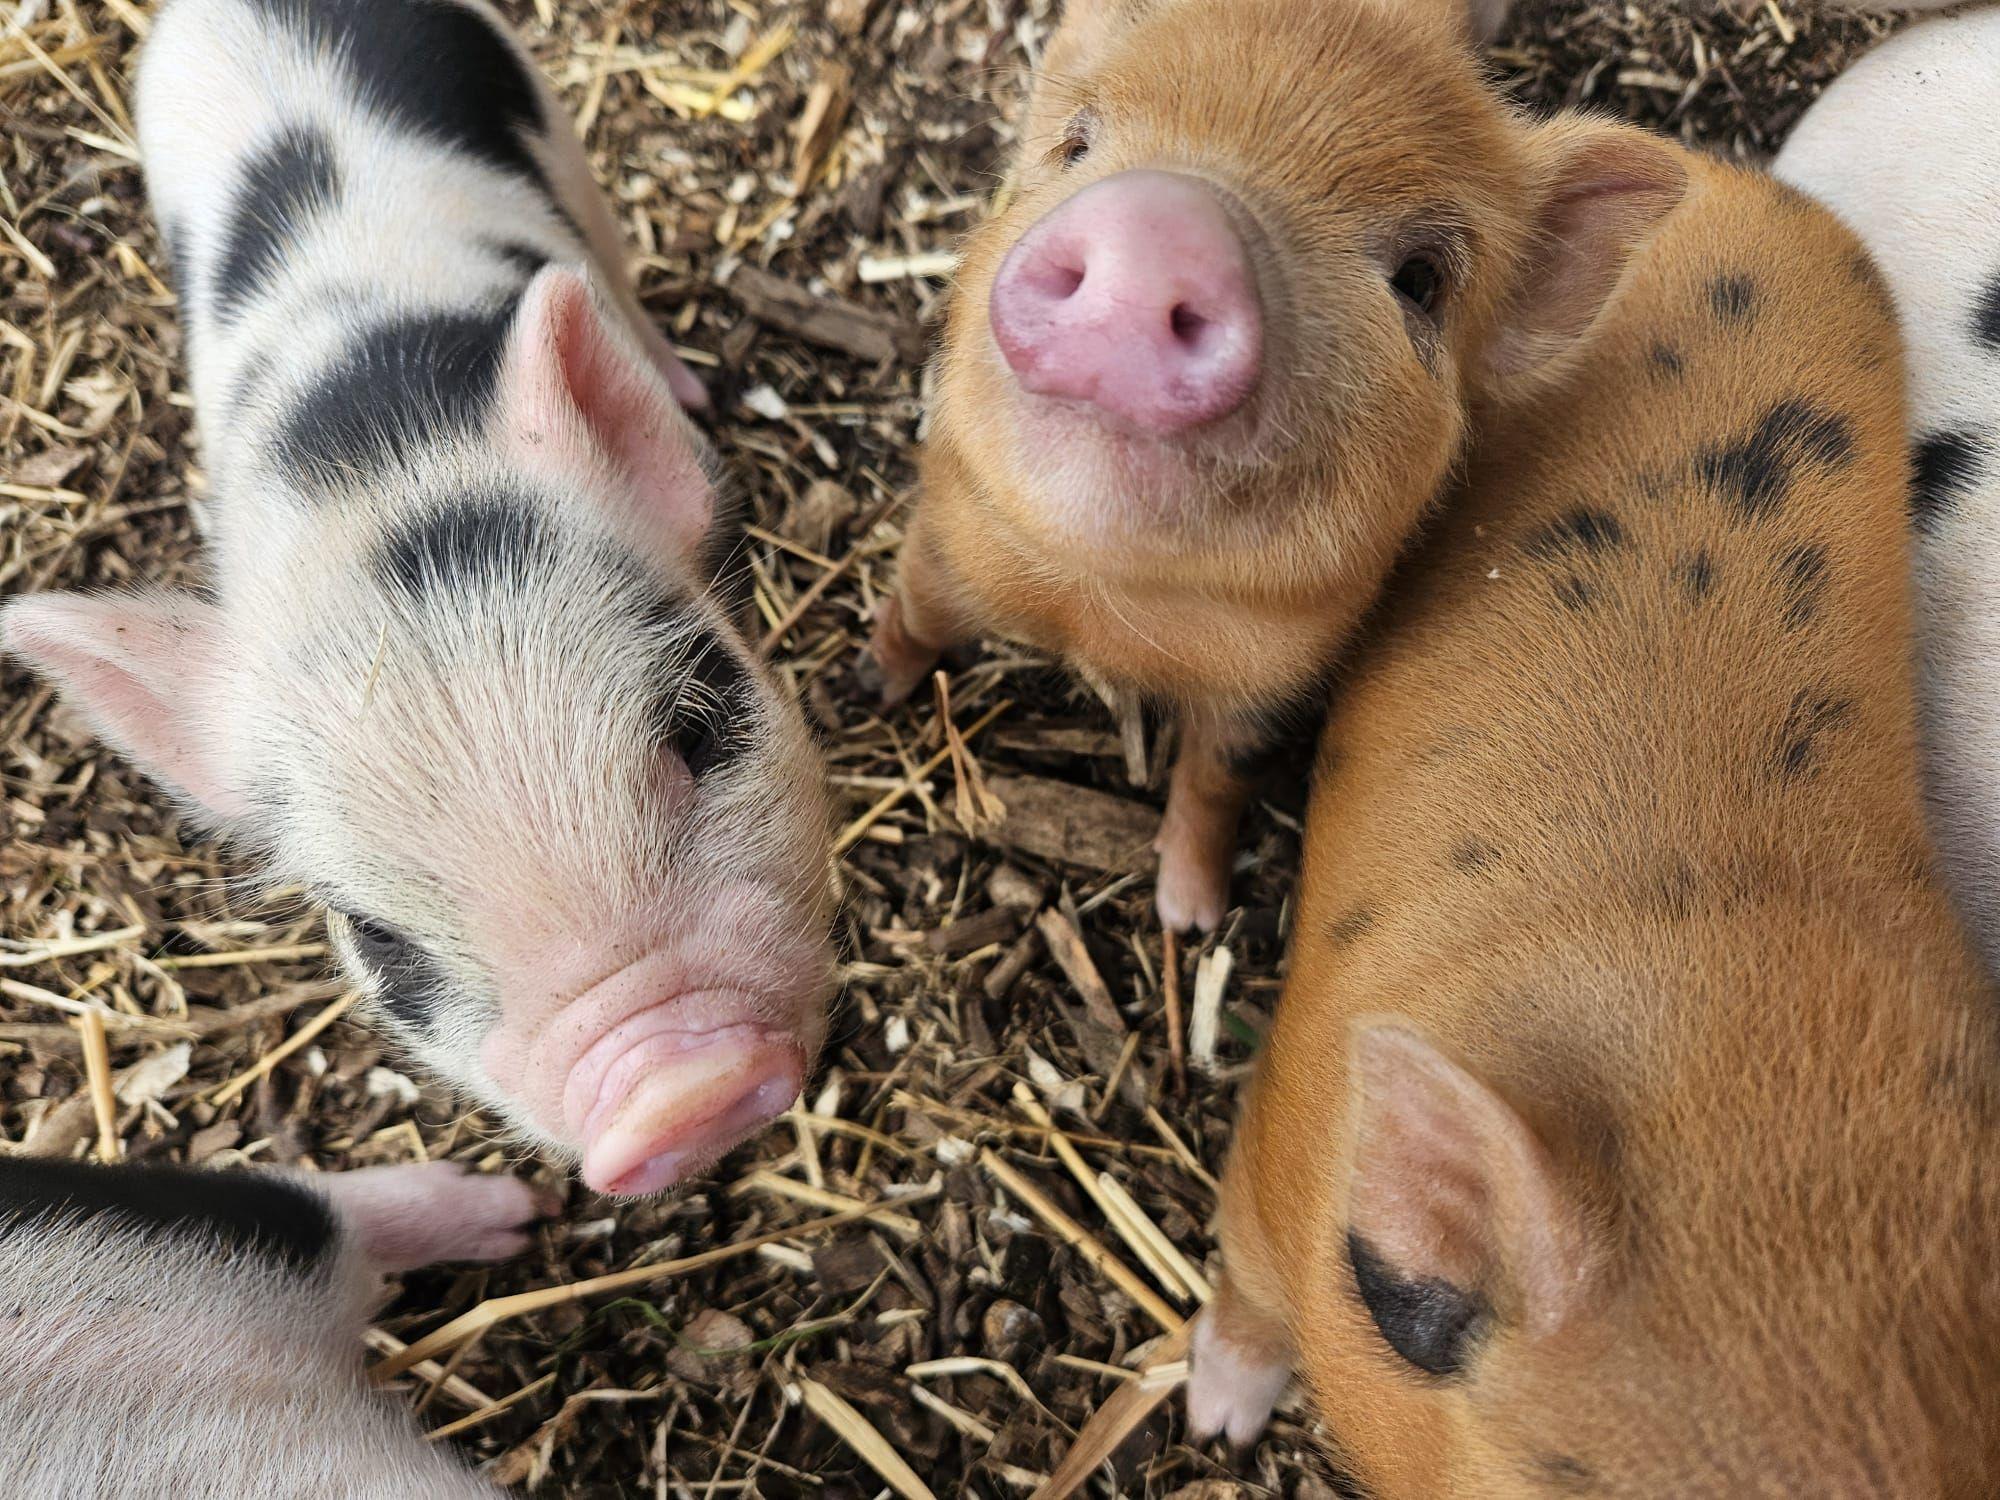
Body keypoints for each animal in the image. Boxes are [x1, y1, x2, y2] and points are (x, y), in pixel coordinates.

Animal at [864, 0, 1679, 930]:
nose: (1159, 226)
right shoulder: (943, 524)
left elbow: (1216, 780)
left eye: (1422, 280)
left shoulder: (1276, 678)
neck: (1093, 607)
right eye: (1076, 145)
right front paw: (862, 689)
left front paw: (1189, 915)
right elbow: (916, 617)